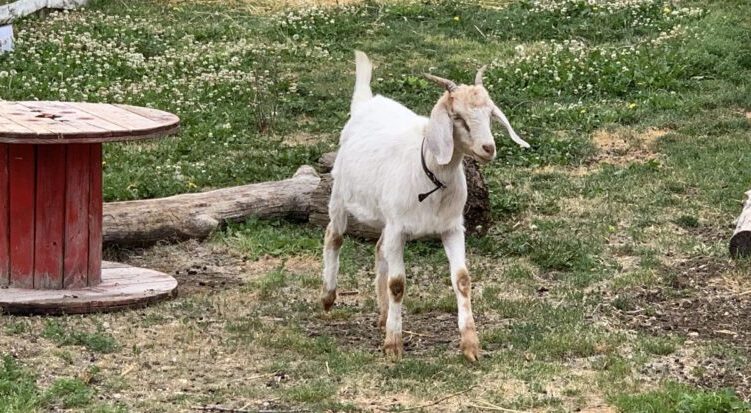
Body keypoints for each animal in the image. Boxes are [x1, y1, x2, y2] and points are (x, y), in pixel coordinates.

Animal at [321, 51, 530, 361]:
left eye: (490, 114)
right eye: (457, 117)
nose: (488, 148)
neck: (430, 177)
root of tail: (367, 102)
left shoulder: (452, 228)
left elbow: (462, 279)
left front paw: (470, 344)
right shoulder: (399, 229)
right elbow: (398, 284)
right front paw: (393, 346)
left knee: (378, 248)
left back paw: (383, 315)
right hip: (340, 195)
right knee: (333, 236)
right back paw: (328, 297)